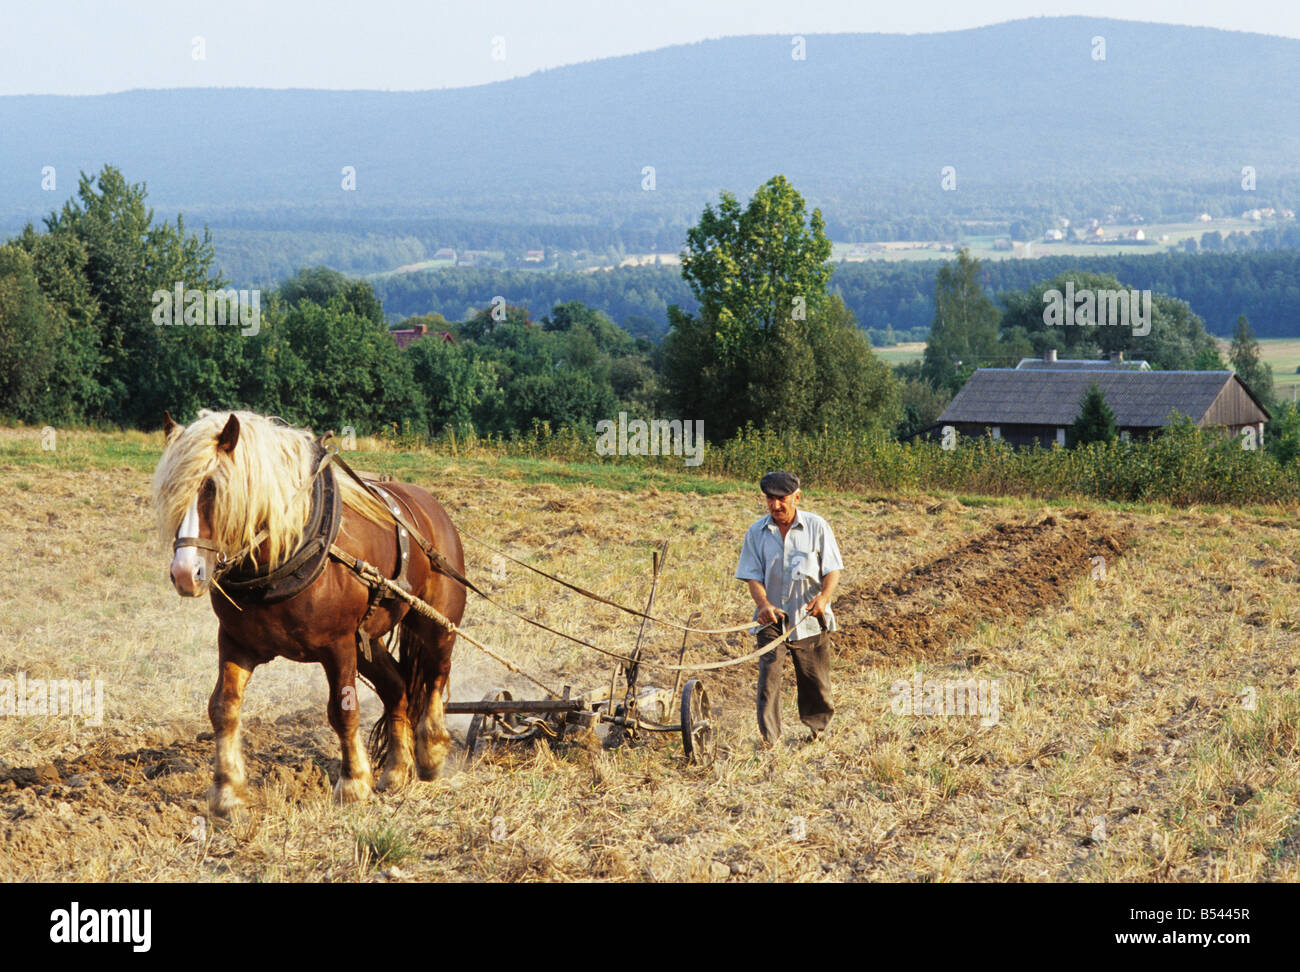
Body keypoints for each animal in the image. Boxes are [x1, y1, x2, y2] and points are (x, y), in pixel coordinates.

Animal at [151, 408, 466, 814]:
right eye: (173, 493)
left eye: (214, 489)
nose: (185, 574)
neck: (286, 550)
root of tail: (431, 508)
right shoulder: (237, 642)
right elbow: (223, 707)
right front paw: (227, 791)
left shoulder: (338, 644)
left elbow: (343, 711)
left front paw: (352, 783)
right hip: (367, 641)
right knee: (397, 688)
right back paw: (396, 772)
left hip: (436, 624)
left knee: (436, 677)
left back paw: (431, 752)